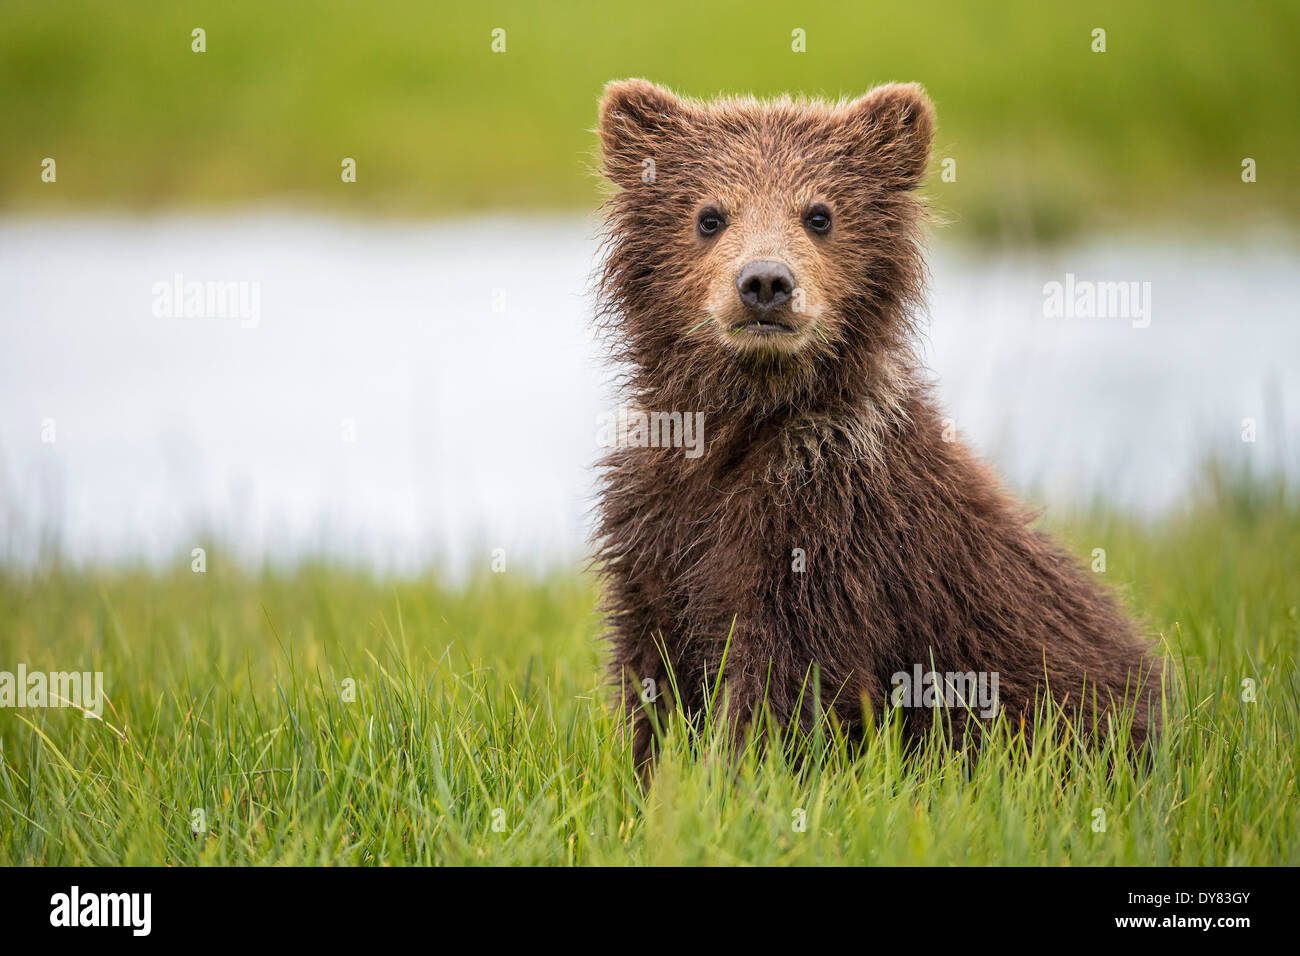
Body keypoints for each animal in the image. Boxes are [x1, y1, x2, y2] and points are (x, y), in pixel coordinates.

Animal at [592, 79, 1162, 769]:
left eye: (820, 213)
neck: (747, 424)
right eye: (709, 215)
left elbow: (784, 679)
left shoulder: (829, 528)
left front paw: (731, 769)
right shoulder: (654, 520)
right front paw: (650, 766)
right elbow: (654, 671)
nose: (765, 282)